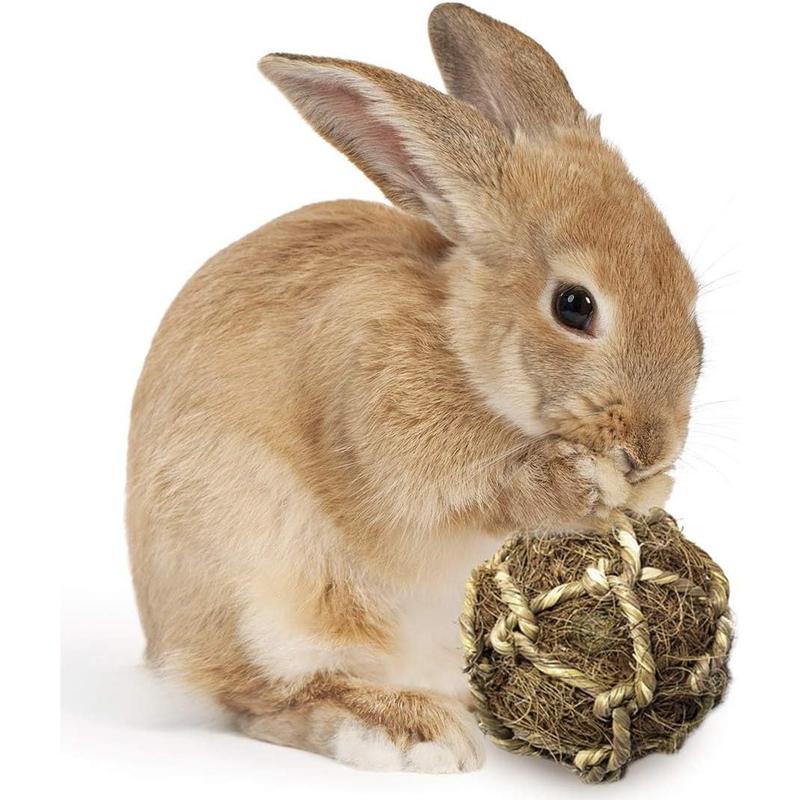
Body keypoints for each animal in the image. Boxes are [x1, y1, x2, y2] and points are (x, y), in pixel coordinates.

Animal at [127, 2, 702, 774]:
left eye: (689, 291)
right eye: (574, 306)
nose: (652, 445)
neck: (463, 350)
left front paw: (646, 492)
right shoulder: (389, 442)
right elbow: (466, 495)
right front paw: (581, 484)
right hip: (263, 587)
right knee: (266, 700)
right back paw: (410, 730)